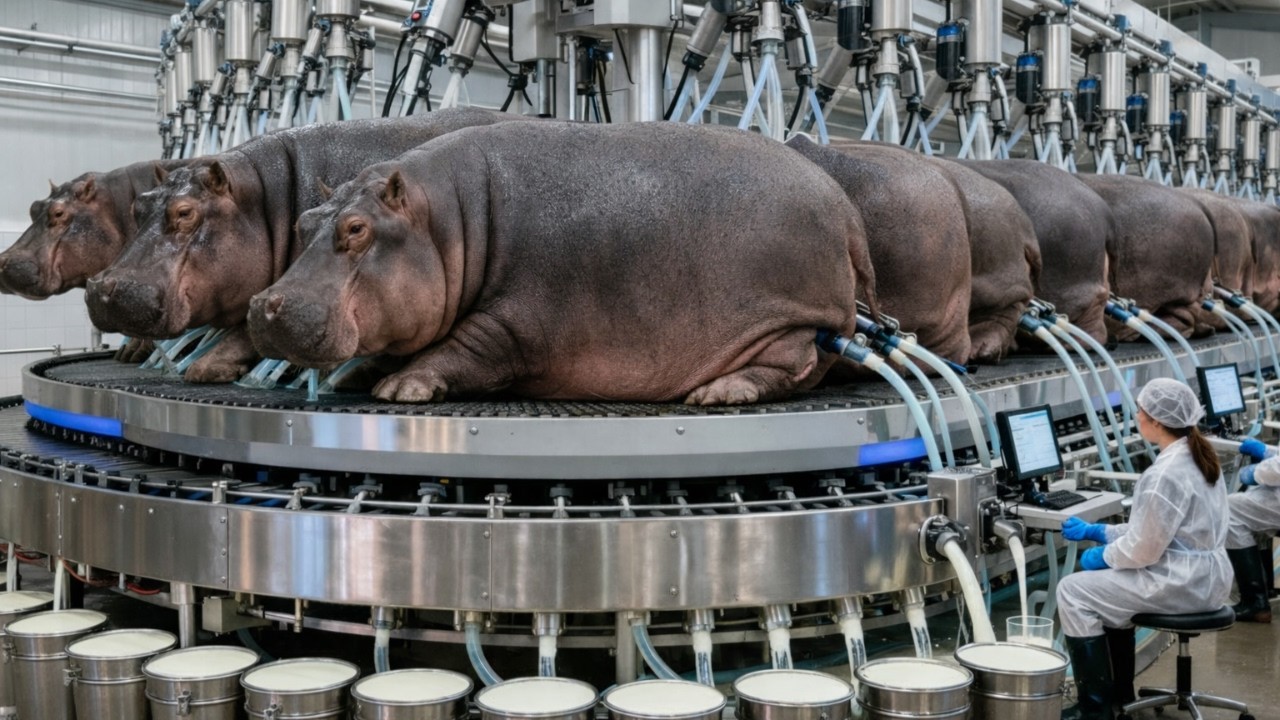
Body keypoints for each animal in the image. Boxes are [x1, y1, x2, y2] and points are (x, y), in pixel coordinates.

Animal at [85, 107, 528, 383]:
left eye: (184, 212)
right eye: (139, 205)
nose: (99, 285)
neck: (264, 199)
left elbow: (245, 330)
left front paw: (206, 367)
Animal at [248, 122, 873, 405]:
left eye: (357, 229)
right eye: (304, 222)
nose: (264, 304)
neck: (447, 223)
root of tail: (845, 208)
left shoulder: (515, 323)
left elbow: (462, 346)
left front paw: (403, 386)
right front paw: (356, 374)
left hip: (792, 319)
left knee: (793, 364)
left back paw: (719, 393)